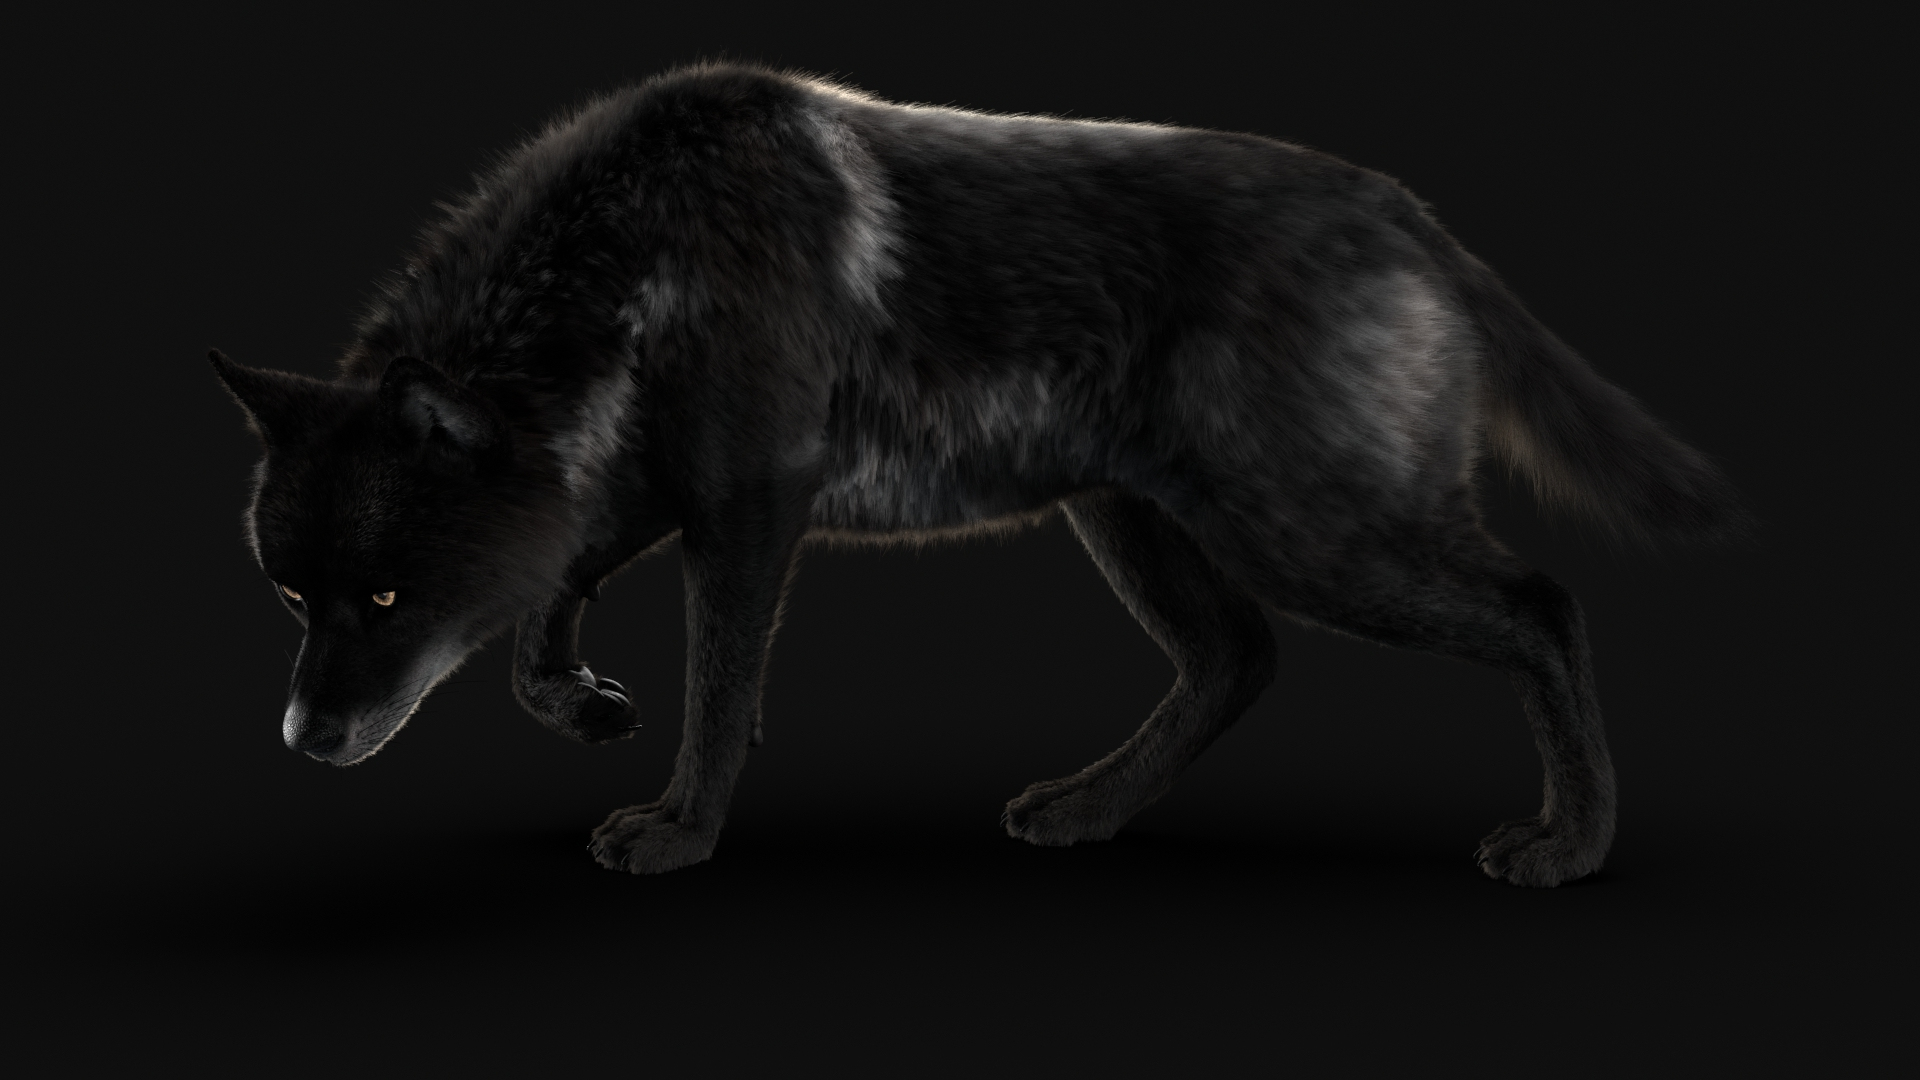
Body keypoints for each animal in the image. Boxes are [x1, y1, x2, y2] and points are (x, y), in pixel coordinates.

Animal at [210, 62, 1743, 885]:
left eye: (387, 601)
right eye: (294, 600)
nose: (300, 742)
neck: (637, 259)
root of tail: (1418, 219)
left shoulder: (751, 510)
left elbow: (719, 688)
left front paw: (682, 828)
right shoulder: (652, 493)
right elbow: (551, 599)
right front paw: (583, 704)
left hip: (1310, 531)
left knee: (1542, 608)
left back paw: (1568, 845)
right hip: (1140, 525)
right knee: (1238, 661)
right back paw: (1082, 812)